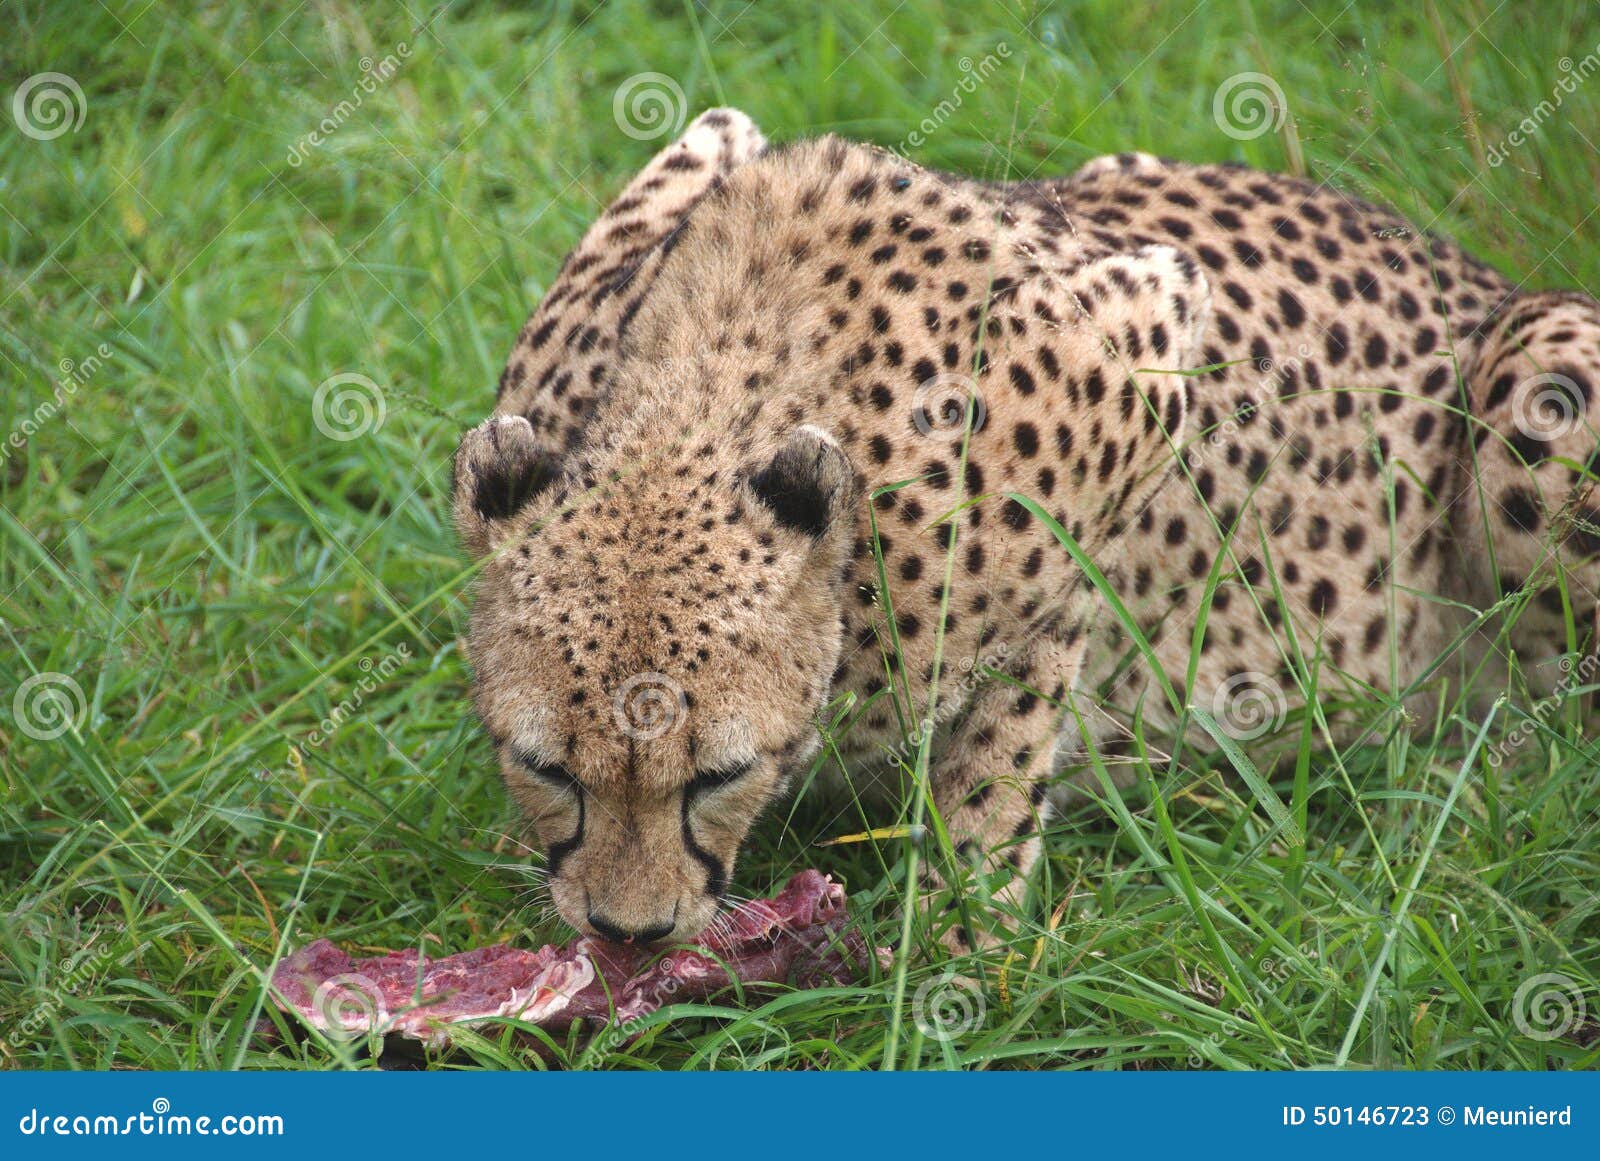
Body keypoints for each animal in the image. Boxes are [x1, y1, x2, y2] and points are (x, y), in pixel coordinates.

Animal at [452, 108, 1600, 949]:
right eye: (547, 766)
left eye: (718, 777)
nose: (627, 932)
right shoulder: (712, 138)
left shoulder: (1148, 344)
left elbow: (998, 756)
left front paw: (961, 960)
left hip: (1540, 370)